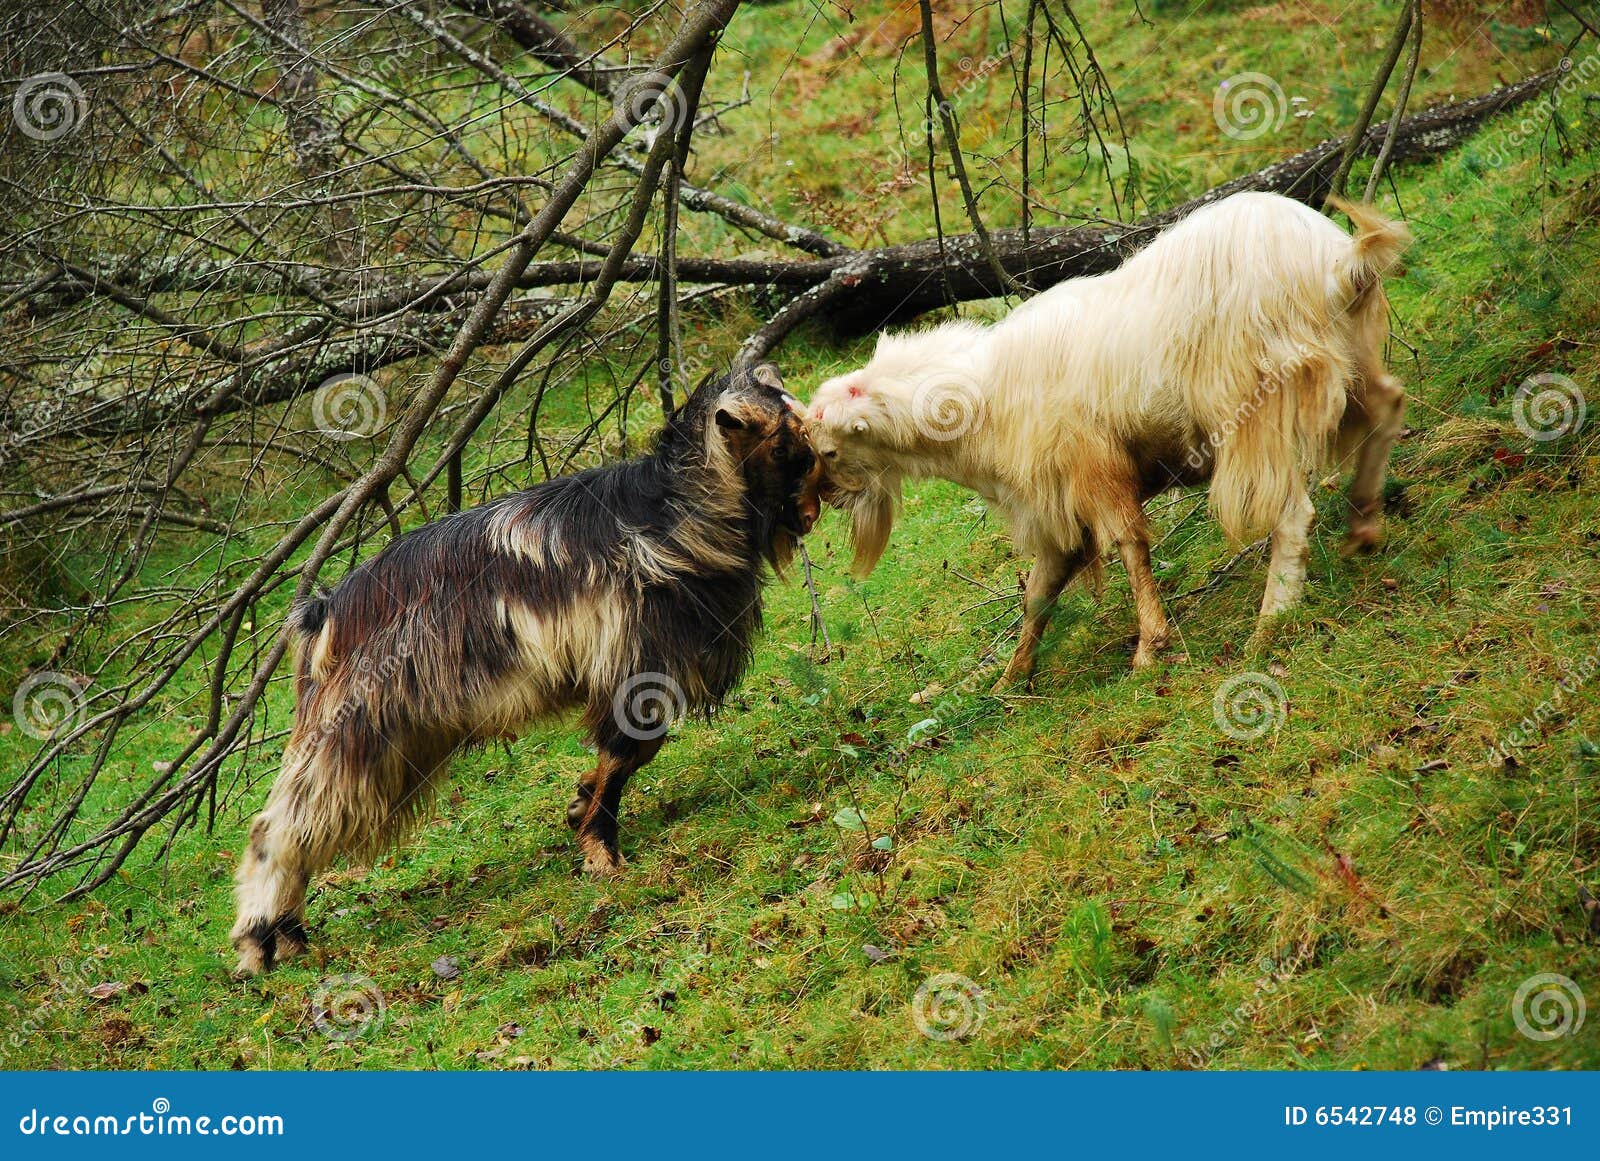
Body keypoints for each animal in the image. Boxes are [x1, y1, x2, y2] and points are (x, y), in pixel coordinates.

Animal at [230, 365, 822, 976]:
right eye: (784, 447)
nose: (810, 513)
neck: (669, 517)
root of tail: (325, 613)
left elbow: (628, 756)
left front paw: (581, 803)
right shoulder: (634, 667)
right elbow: (626, 752)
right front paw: (601, 852)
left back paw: (287, 932)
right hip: (352, 734)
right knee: (278, 825)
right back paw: (261, 938)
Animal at [807, 192, 1410, 687]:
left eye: (830, 450)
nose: (823, 504)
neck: (981, 398)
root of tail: (1335, 263)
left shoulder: (1092, 466)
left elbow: (1128, 544)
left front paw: (1150, 647)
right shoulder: (1056, 502)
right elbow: (1040, 592)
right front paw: (1010, 680)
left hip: (1253, 407)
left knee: (1290, 511)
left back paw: (1271, 622)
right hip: (1355, 357)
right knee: (1388, 407)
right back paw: (1364, 525)